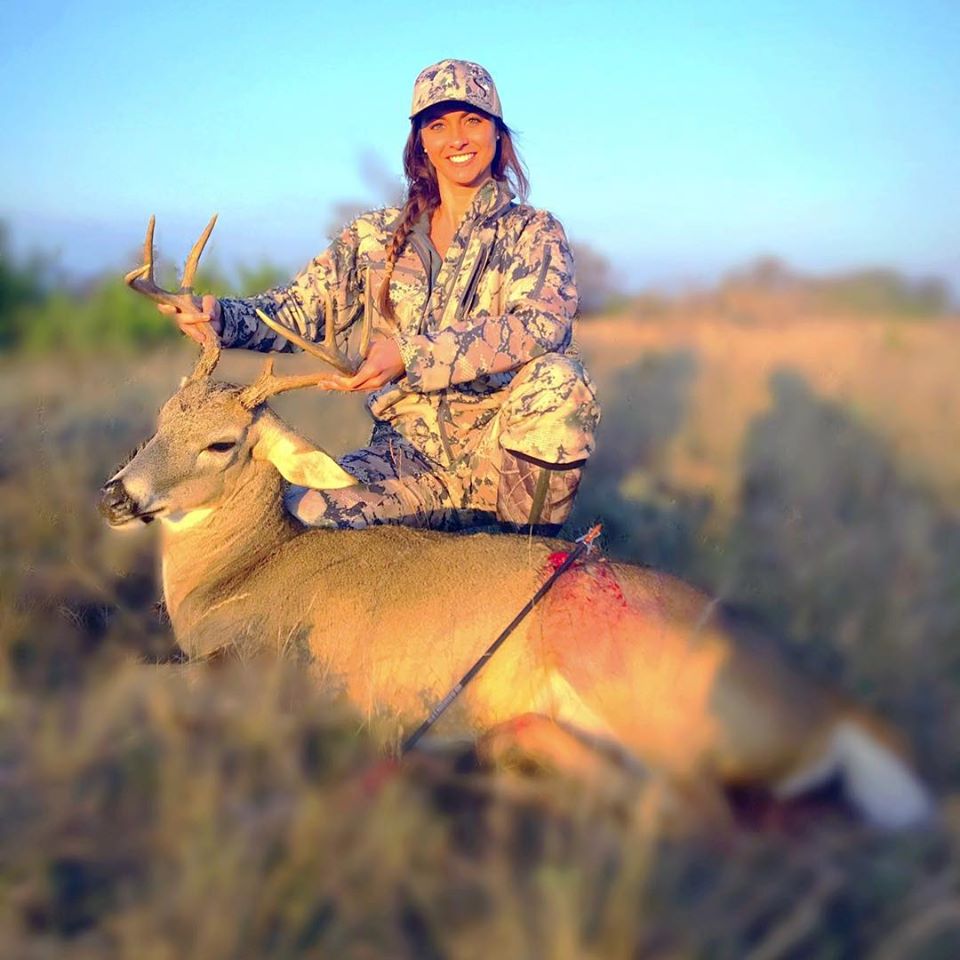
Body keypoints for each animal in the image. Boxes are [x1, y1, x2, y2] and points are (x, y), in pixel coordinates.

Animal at [99, 217, 934, 830]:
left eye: (222, 442)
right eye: (161, 417)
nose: (115, 496)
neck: (243, 575)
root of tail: (832, 707)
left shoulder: (276, 678)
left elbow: (134, 688)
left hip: (638, 687)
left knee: (698, 819)